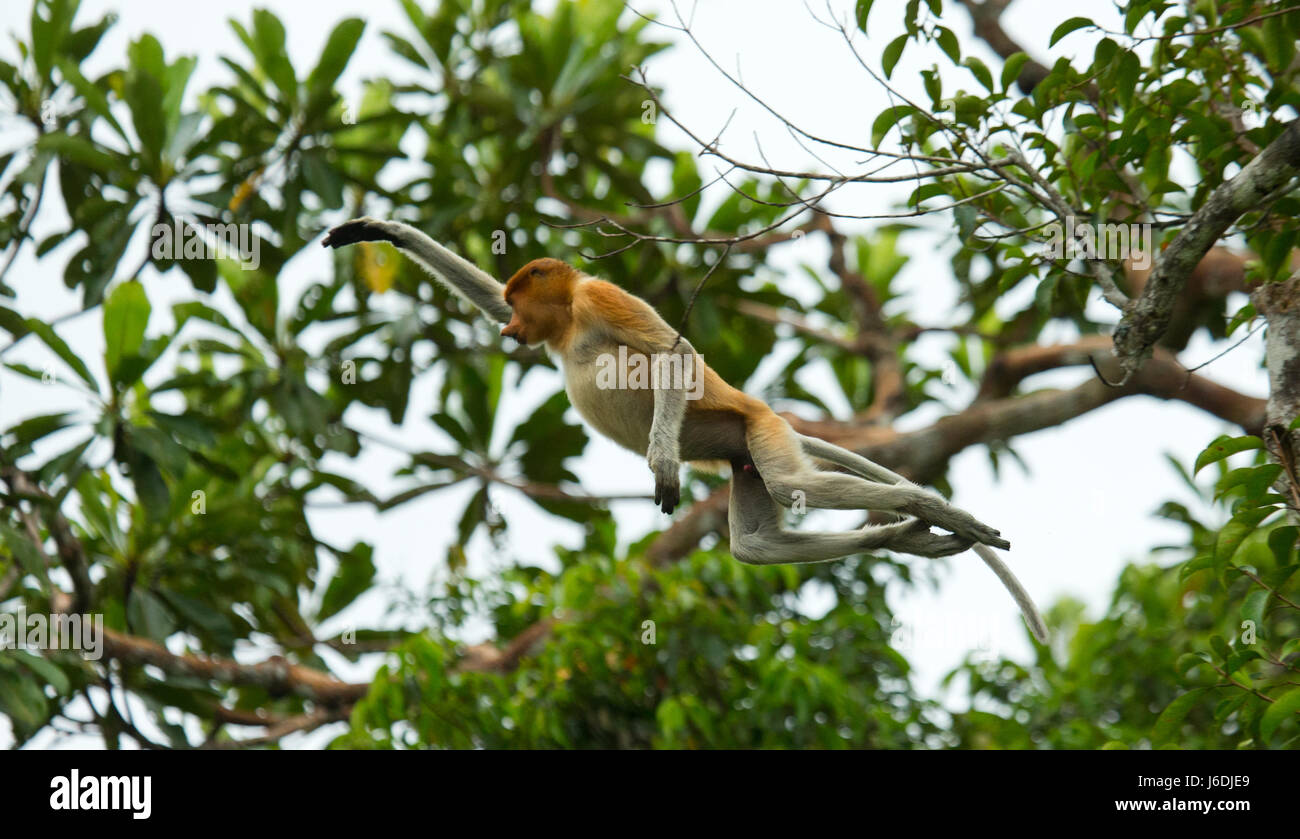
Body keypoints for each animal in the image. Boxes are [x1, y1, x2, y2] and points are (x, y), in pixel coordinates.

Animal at [322, 217, 1049, 643]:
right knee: (755, 545)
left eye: (518, 302)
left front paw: (663, 463)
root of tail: (763, 410)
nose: (509, 331)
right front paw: (377, 230)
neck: (567, 322)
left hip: (757, 425)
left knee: (790, 483)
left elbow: (676, 355)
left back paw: (927, 509)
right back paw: (904, 537)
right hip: (741, 457)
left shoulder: (600, 298)